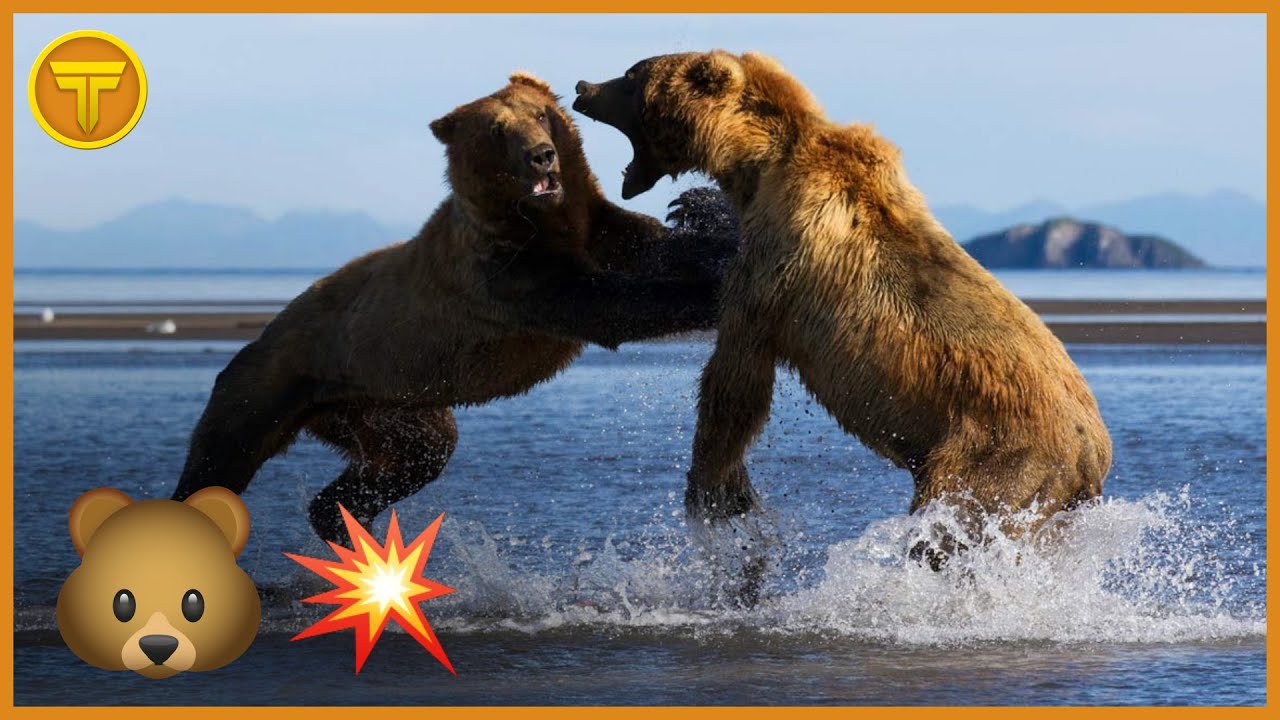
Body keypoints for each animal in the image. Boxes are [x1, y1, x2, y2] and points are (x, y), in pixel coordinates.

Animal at [171, 73, 740, 546]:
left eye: (539, 114)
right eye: (497, 131)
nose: (541, 156)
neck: (543, 222)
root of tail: (263, 334)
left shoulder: (595, 229)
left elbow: (657, 246)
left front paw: (707, 219)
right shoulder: (510, 277)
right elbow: (610, 306)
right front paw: (713, 288)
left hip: (383, 407)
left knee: (417, 457)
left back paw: (352, 529)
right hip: (272, 386)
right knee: (215, 465)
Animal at [573, 51, 1113, 564]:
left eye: (632, 75)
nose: (582, 86)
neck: (758, 165)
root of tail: (1093, 455)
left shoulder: (775, 270)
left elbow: (737, 380)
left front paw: (714, 493)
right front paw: (694, 205)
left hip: (995, 461)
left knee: (947, 532)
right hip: (1044, 504)